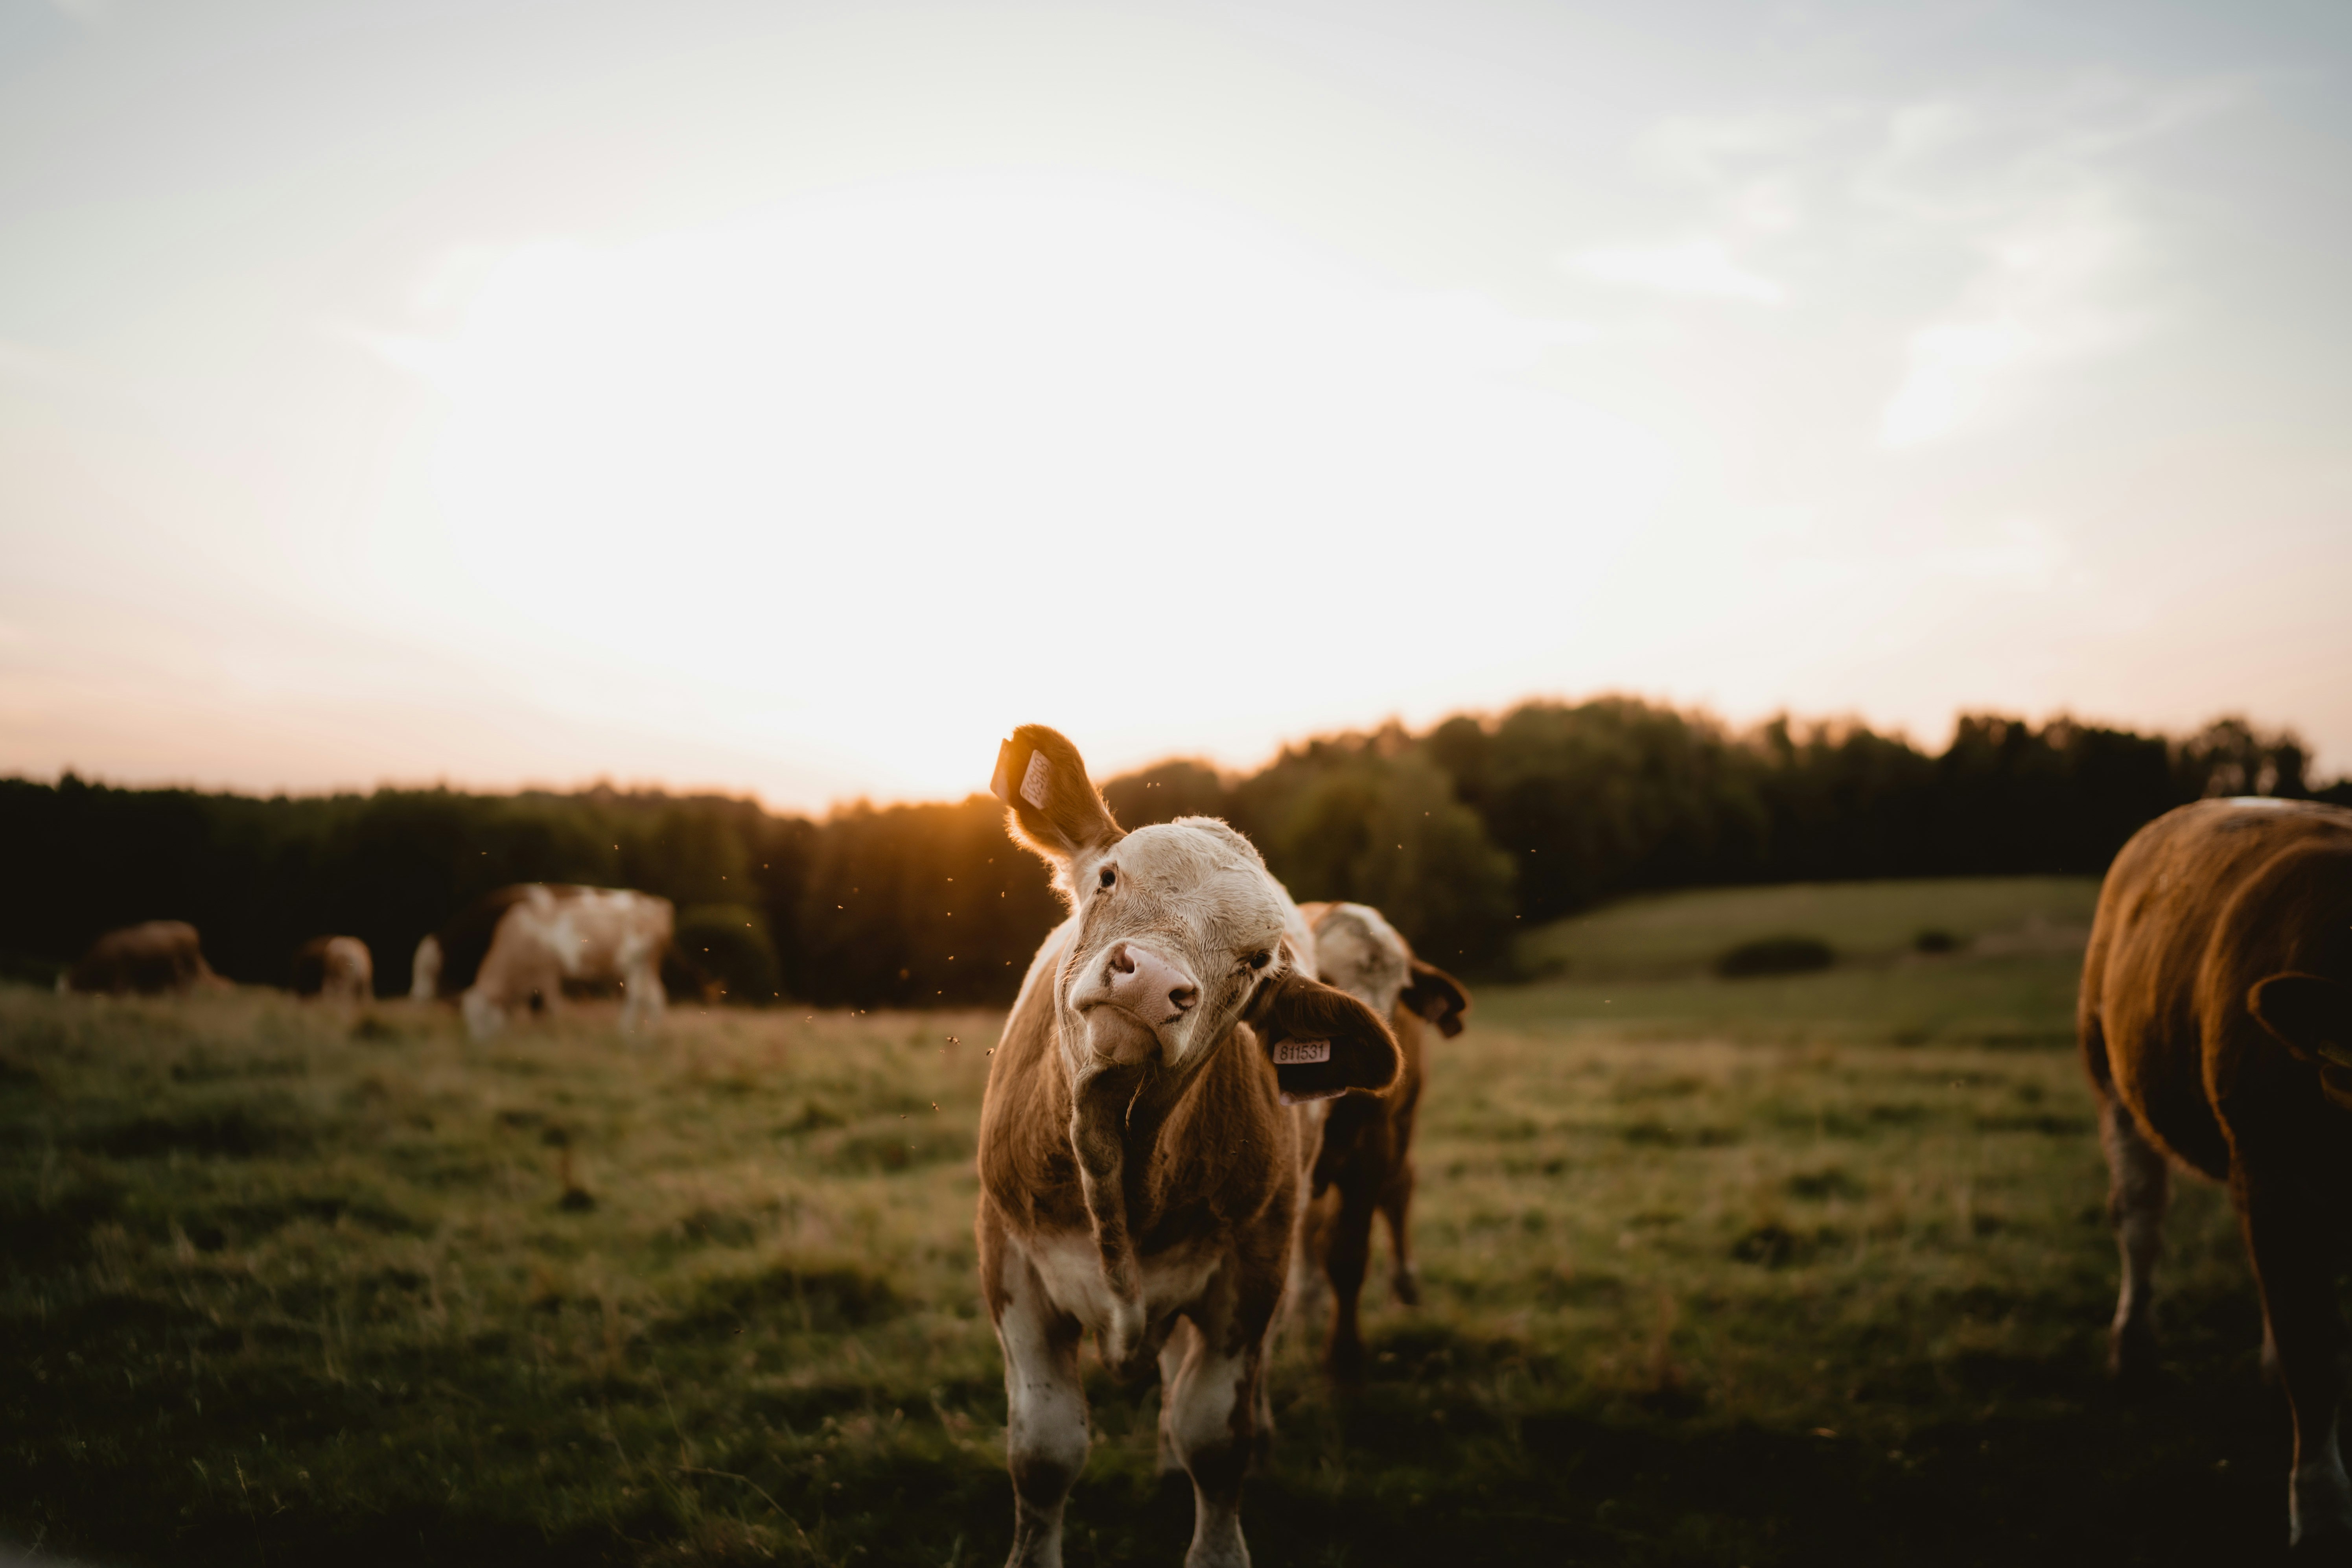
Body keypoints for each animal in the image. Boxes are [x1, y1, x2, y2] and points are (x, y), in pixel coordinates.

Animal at [411, 885, 673, 1040]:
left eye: (426, 970)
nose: (478, 1045)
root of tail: (658, 905)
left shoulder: (547, 973)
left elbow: (547, 1008)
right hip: (644, 967)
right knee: (653, 996)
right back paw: (647, 1034)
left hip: (637, 963)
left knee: (640, 997)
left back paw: (628, 1034)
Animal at [976, 726, 1403, 1568]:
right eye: (1110, 876)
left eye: (1254, 962)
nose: (1152, 982)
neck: (1111, 1161)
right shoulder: (1011, 1264)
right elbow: (1043, 1452)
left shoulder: (1250, 1269)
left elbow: (1216, 1438)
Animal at [1293, 901, 1469, 1383]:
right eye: (1324, 982)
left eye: (1397, 995)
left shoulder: (1371, 1148)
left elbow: (1347, 1252)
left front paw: (1344, 1358)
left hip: (1402, 1127)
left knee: (1399, 1188)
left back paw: (1404, 1286)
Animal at [2081, 796, 2352, 1553]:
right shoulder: (2276, 1170)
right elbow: (2314, 1346)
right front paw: (2322, 1513)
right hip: (2113, 1076)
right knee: (2139, 1220)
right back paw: (2134, 1353)